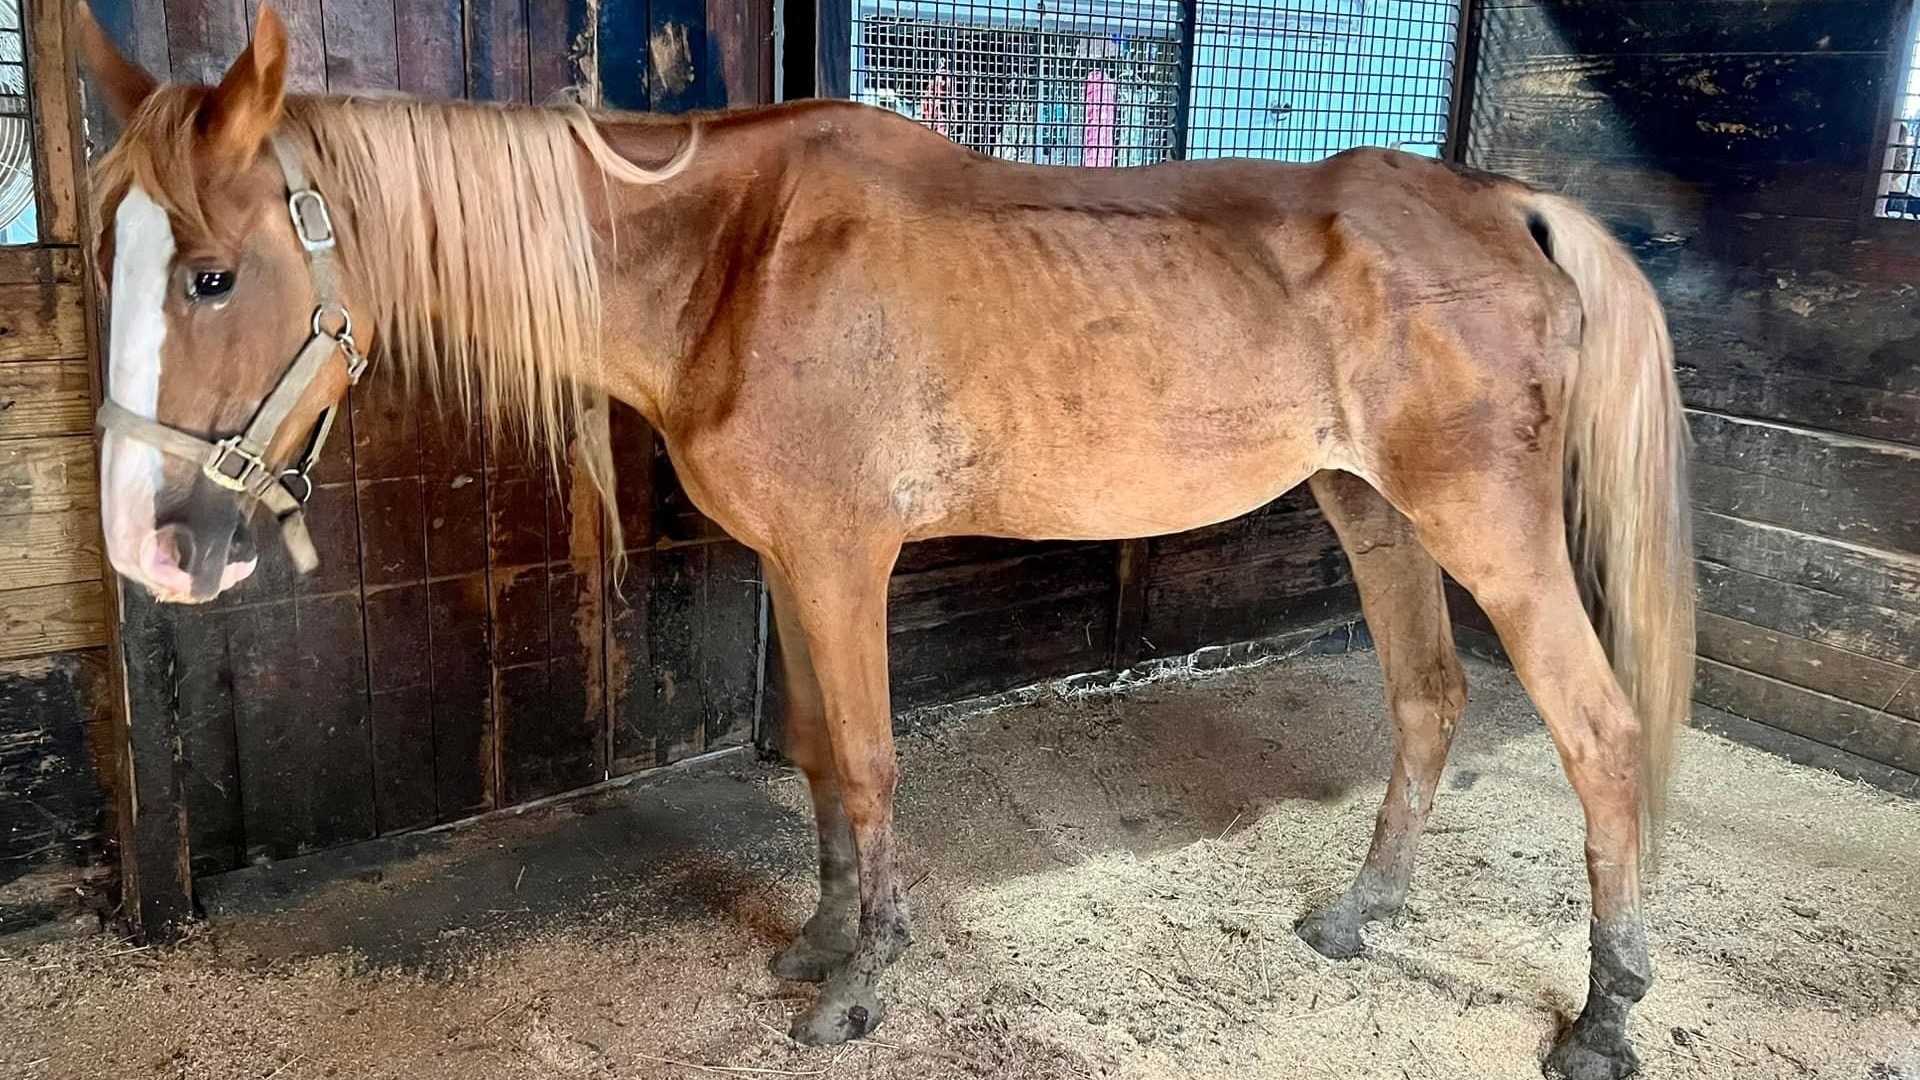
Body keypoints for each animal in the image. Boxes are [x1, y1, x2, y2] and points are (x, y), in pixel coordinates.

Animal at [79, 7, 1693, 1076]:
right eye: (112, 260)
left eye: (213, 274)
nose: (150, 549)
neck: (728, 258)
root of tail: (1502, 201)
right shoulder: (796, 569)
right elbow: (812, 761)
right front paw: (818, 938)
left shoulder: (843, 561)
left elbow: (862, 764)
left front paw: (859, 989)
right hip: (1374, 510)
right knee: (1429, 701)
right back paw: (1358, 915)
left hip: (1484, 525)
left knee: (1601, 733)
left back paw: (1607, 1012)